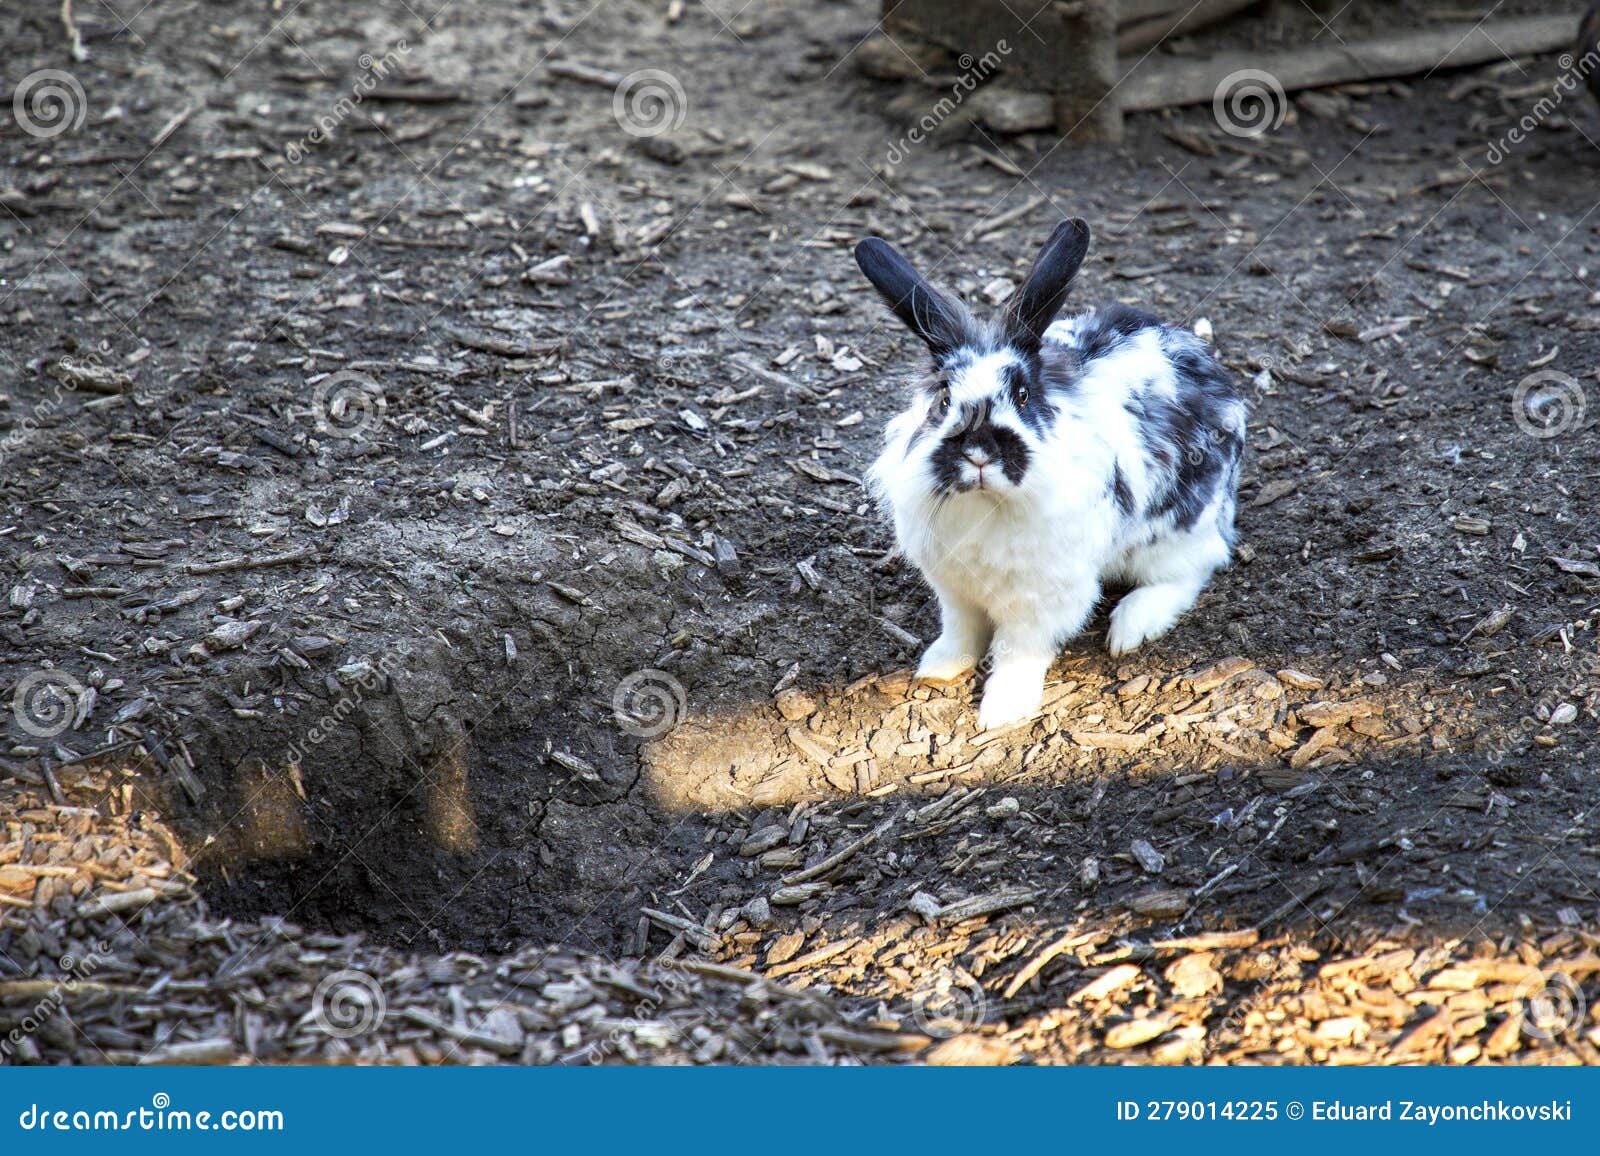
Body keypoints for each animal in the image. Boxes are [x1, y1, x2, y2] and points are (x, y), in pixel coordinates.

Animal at [855, 218, 1246, 730]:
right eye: (943, 399)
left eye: (1022, 395)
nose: (979, 452)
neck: (986, 505)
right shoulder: (954, 589)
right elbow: (961, 630)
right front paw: (939, 668)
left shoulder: (1041, 599)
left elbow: (1018, 651)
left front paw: (1001, 711)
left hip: (1174, 532)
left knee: (1195, 568)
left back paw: (1131, 626)